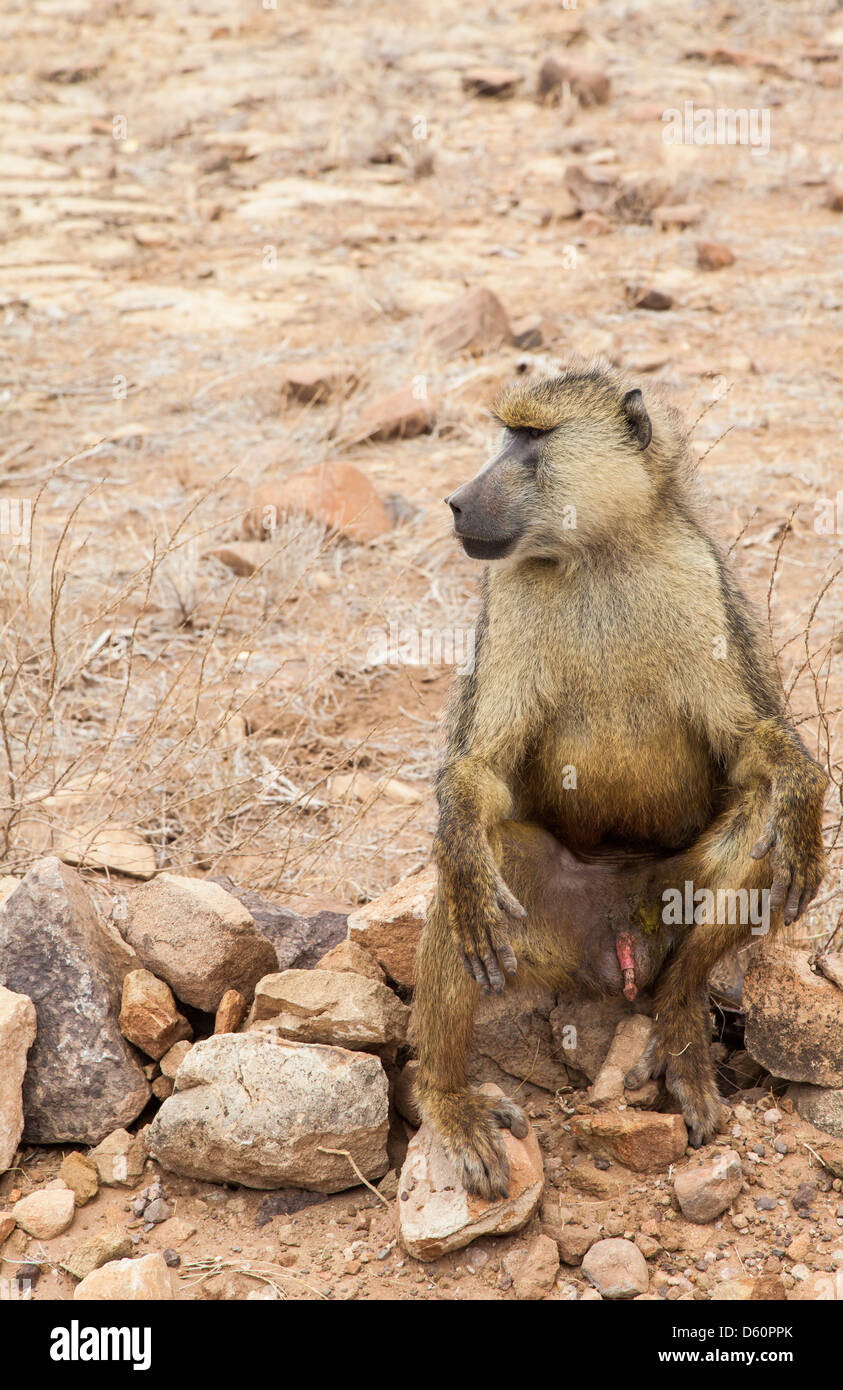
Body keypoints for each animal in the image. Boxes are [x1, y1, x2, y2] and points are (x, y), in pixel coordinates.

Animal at [411, 359, 828, 1200]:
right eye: (508, 433)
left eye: (531, 438)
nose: (458, 501)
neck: (597, 552)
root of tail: (612, 955)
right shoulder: (507, 595)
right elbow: (483, 777)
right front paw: (463, 848)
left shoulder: (700, 580)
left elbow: (752, 753)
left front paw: (801, 785)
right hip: (542, 925)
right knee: (481, 871)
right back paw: (448, 1098)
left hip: (664, 902)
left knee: (757, 828)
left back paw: (678, 1022)